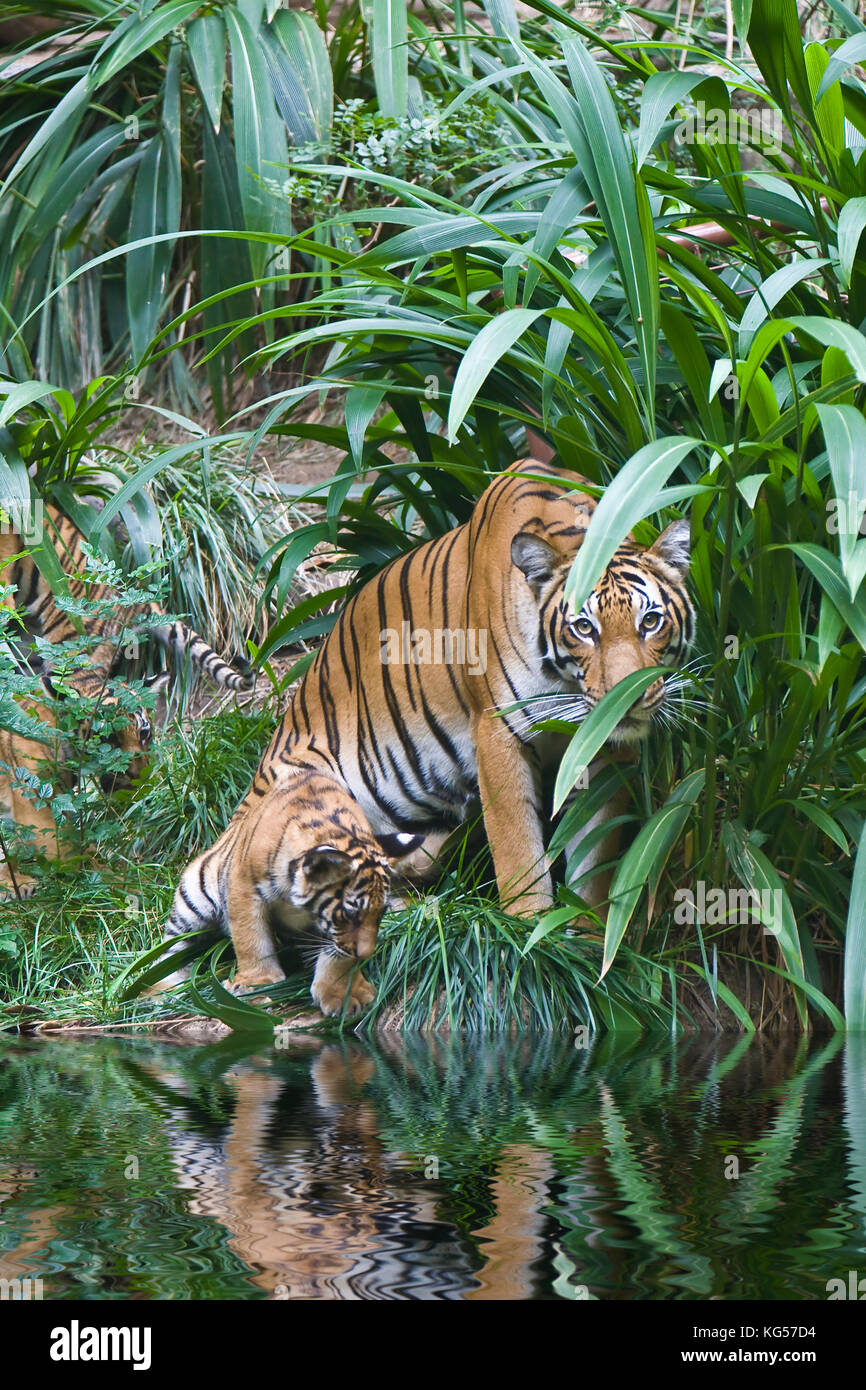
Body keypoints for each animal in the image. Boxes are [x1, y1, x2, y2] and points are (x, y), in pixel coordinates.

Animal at [158, 460, 694, 1018]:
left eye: (650, 621)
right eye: (584, 628)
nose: (626, 701)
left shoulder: (602, 749)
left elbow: (597, 851)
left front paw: (588, 941)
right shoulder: (499, 731)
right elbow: (519, 848)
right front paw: (533, 936)